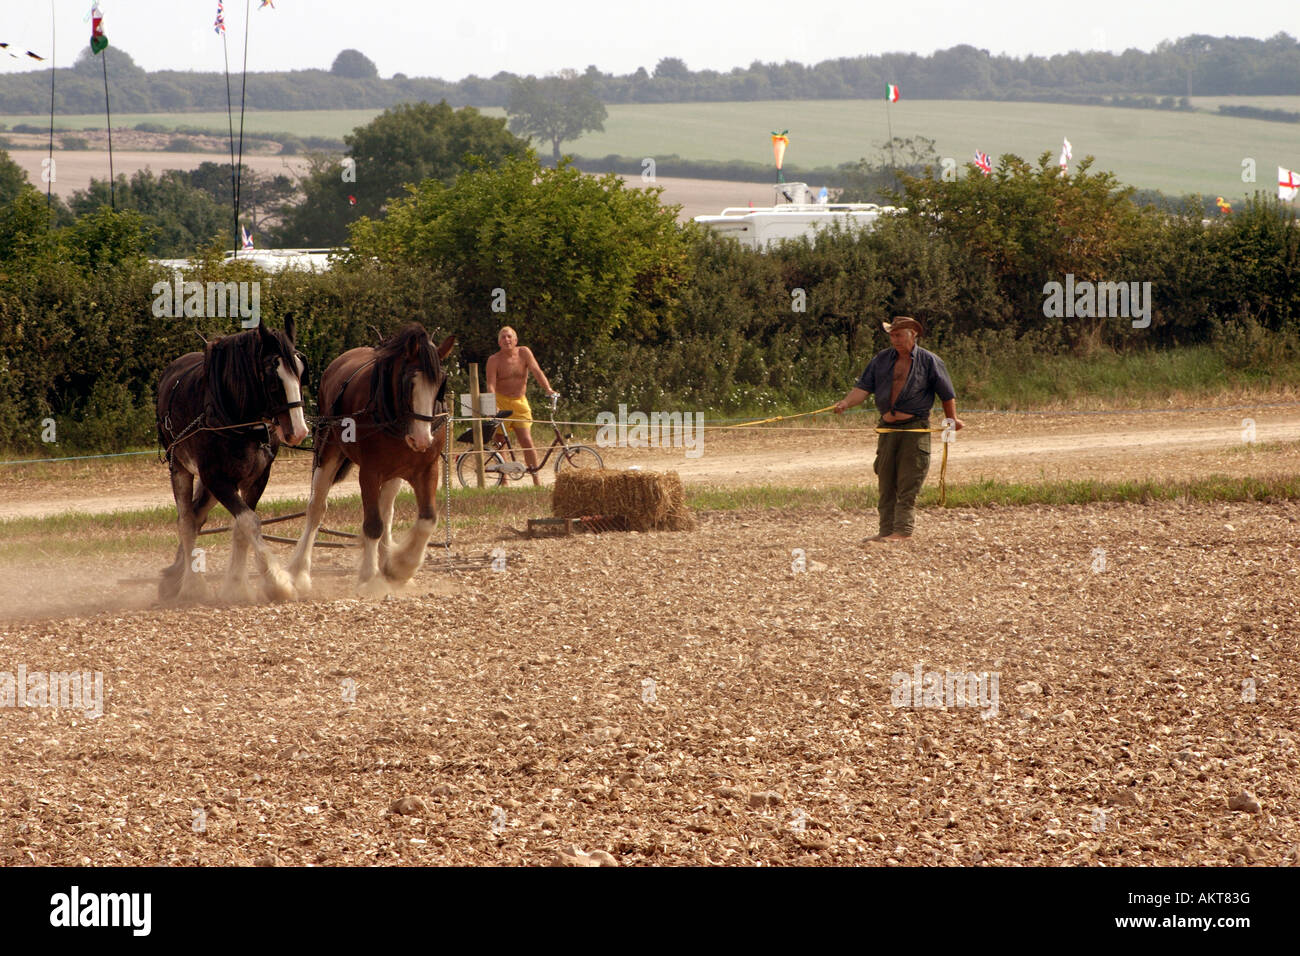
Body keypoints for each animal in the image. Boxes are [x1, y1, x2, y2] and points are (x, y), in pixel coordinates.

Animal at [156, 319, 309, 604]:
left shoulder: (257, 477)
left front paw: (236, 585)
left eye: (301, 370)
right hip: (180, 467)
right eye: (271, 374)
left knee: (197, 516)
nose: (299, 431)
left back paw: (174, 578)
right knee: (187, 521)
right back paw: (192, 585)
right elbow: (249, 521)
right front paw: (278, 583)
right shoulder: (215, 477)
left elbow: (242, 527)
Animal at [288, 324, 454, 599]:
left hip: (395, 473)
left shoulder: (427, 469)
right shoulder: (369, 473)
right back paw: (299, 572)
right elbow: (373, 525)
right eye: (409, 382)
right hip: (328, 451)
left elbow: (427, 519)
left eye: (440, 384)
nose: (421, 439)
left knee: (387, 511)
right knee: (316, 508)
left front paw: (399, 567)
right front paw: (370, 578)